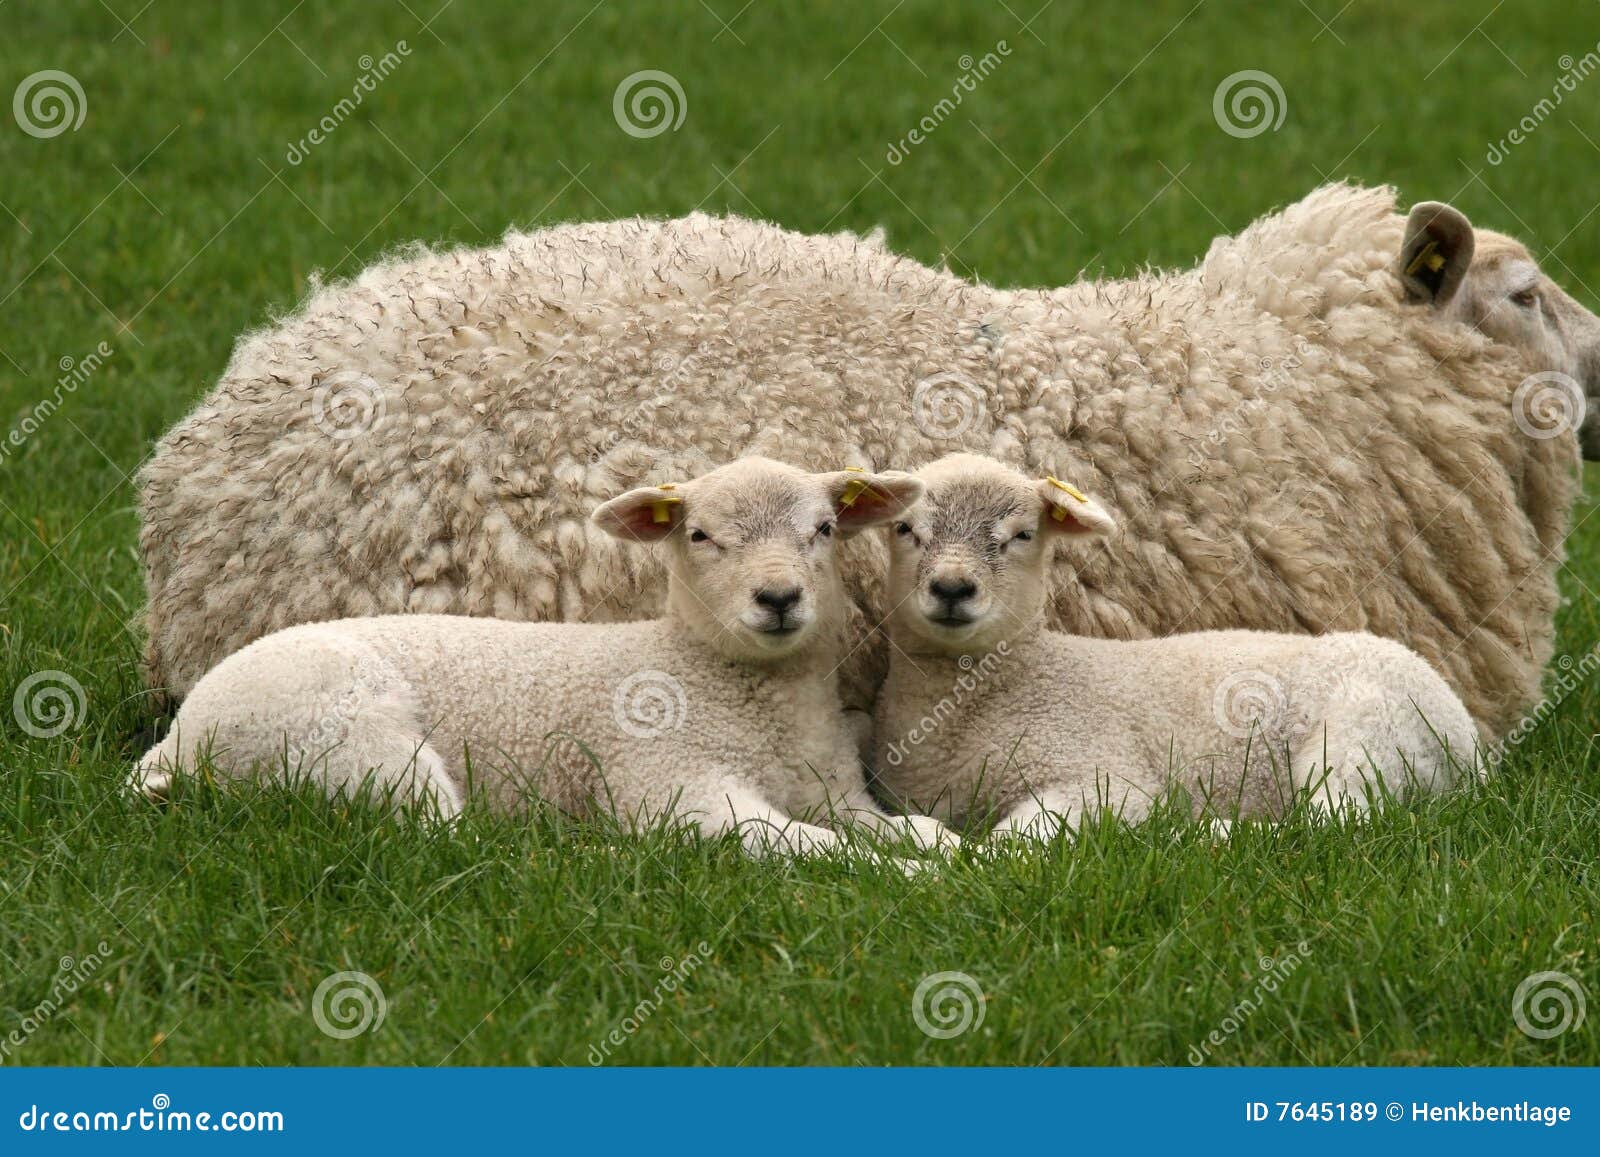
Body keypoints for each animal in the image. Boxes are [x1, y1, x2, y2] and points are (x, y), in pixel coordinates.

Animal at [131, 458, 961, 860]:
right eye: (698, 535)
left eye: (823, 528)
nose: (779, 598)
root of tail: (180, 737)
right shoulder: (674, 788)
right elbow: (810, 847)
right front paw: (909, 879)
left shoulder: (835, 793)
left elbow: (906, 827)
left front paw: (957, 855)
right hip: (348, 740)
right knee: (446, 837)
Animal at [871, 454, 1481, 839]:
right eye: (904, 529)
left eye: (1023, 534)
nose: (952, 588)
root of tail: (1470, 744)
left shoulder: (1101, 775)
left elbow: (1007, 846)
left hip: (1369, 735)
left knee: (1338, 822)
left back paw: (1210, 831)